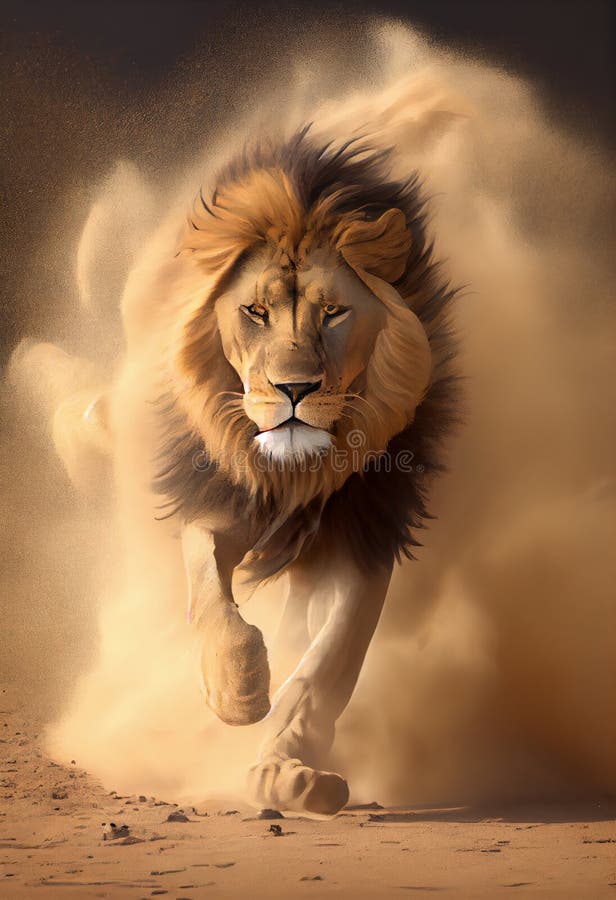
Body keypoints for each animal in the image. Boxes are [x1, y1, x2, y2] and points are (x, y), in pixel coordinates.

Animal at [16, 127, 458, 816]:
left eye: (335, 313)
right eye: (254, 312)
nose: (296, 388)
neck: (295, 476)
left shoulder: (363, 534)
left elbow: (327, 666)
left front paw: (286, 772)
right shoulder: (217, 507)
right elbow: (211, 599)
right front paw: (239, 694)